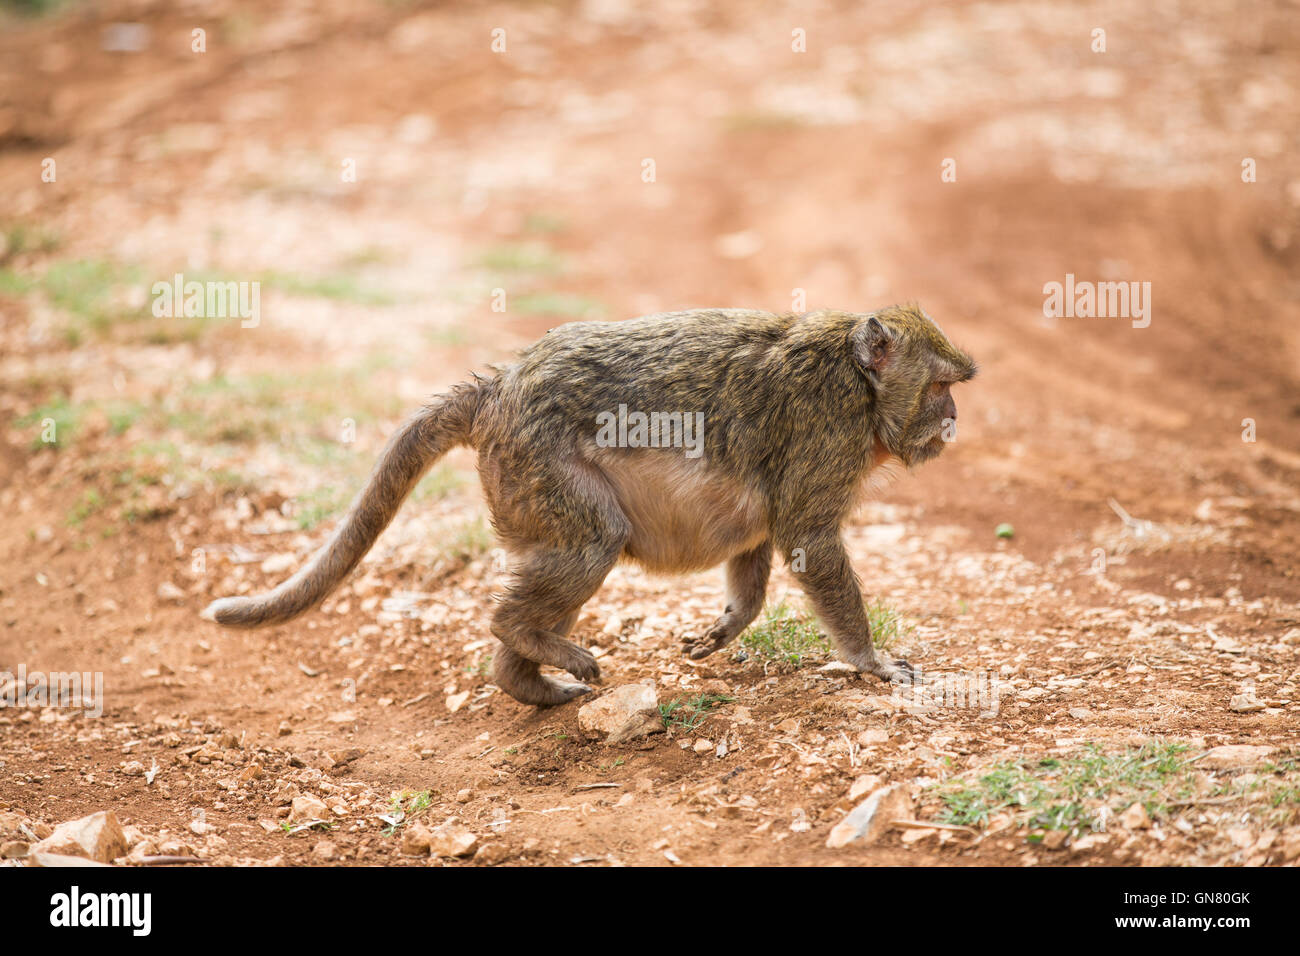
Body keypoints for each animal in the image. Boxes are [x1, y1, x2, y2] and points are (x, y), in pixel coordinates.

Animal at [203, 305, 977, 707]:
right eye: (941, 385)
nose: (953, 419)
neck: (858, 382)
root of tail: (500, 388)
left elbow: (758, 537)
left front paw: (731, 622)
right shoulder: (828, 430)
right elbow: (809, 539)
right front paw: (871, 662)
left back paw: (522, 680)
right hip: (536, 463)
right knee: (593, 542)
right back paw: (522, 636)